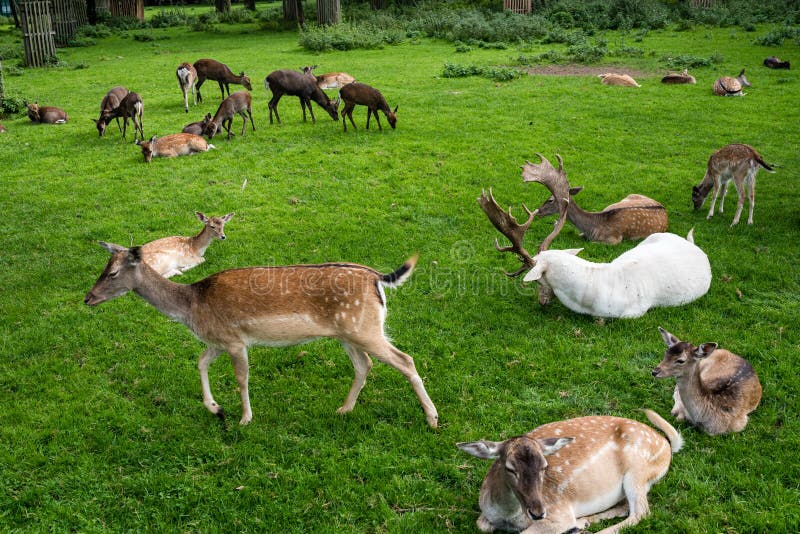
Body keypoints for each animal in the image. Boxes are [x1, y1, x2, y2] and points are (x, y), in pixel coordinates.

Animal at [84, 245, 438, 428]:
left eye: (112, 273)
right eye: (102, 267)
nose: (88, 298)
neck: (192, 308)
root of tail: (378, 278)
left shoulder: (234, 340)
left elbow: (242, 379)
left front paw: (244, 418)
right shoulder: (216, 340)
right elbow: (200, 362)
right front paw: (215, 408)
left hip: (364, 328)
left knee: (405, 360)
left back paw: (432, 418)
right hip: (348, 333)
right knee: (364, 365)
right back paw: (344, 409)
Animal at [457, 409, 682, 534]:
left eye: (544, 466)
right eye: (509, 468)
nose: (538, 512)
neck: (508, 517)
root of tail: (666, 444)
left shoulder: (558, 513)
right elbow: (481, 525)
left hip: (638, 470)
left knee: (641, 512)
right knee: (626, 507)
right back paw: (582, 524)